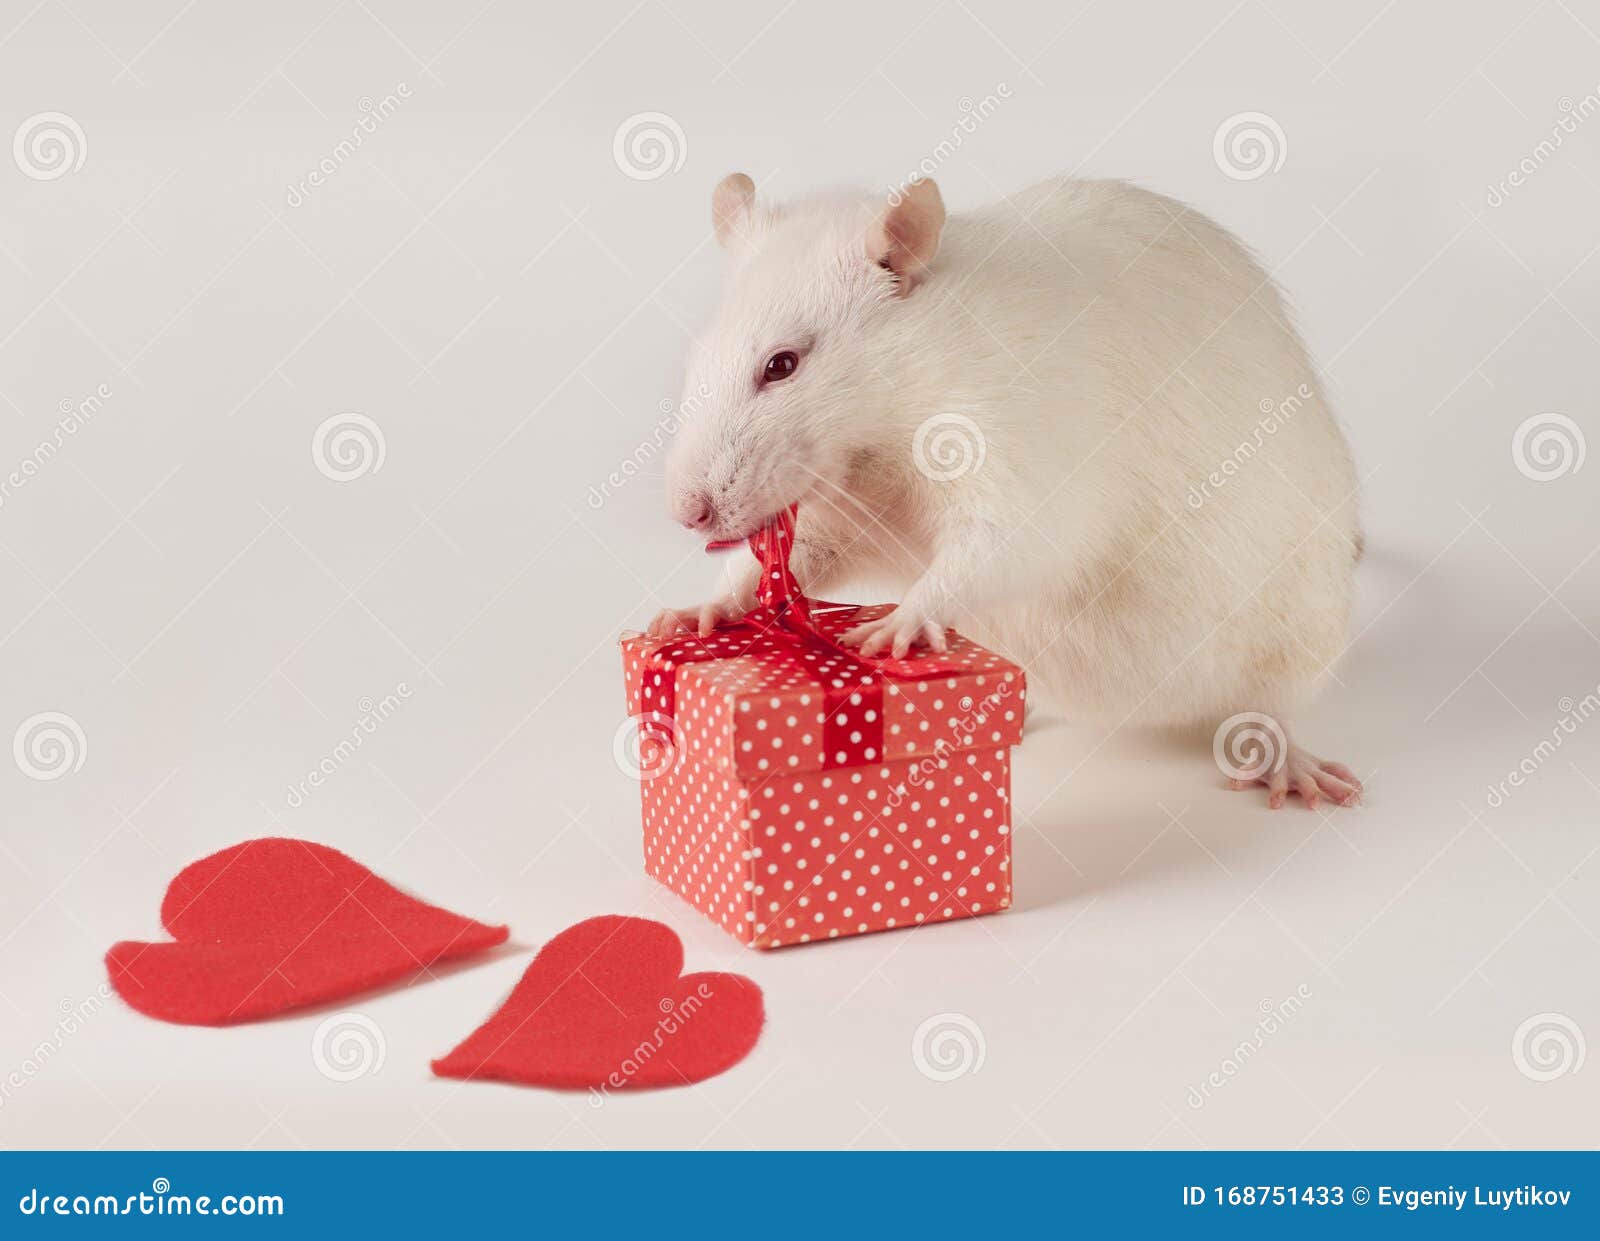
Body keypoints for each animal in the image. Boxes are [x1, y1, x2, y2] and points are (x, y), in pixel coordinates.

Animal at [649, 172, 1362, 809]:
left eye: (782, 365)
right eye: (697, 361)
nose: (688, 513)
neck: (880, 436)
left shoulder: (1007, 428)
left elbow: (1017, 540)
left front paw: (907, 615)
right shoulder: (850, 508)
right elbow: (809, 553)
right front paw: (710, 605)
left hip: (1296, 634)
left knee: (1267, 709)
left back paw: (1283, 756)